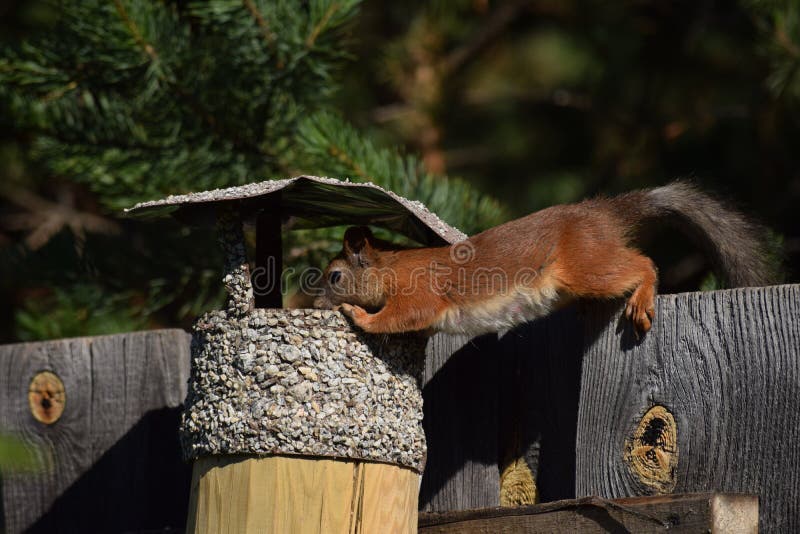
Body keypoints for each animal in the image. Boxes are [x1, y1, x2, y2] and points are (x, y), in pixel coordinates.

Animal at [313, 181, 778, 336]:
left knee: (643, 264)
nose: (316, 304)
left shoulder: (420, 291)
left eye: (334, 276)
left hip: (584, 267)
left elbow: (402, 316)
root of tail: (600, 215)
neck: (391, 267)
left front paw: (359, 315)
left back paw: (642, 297)